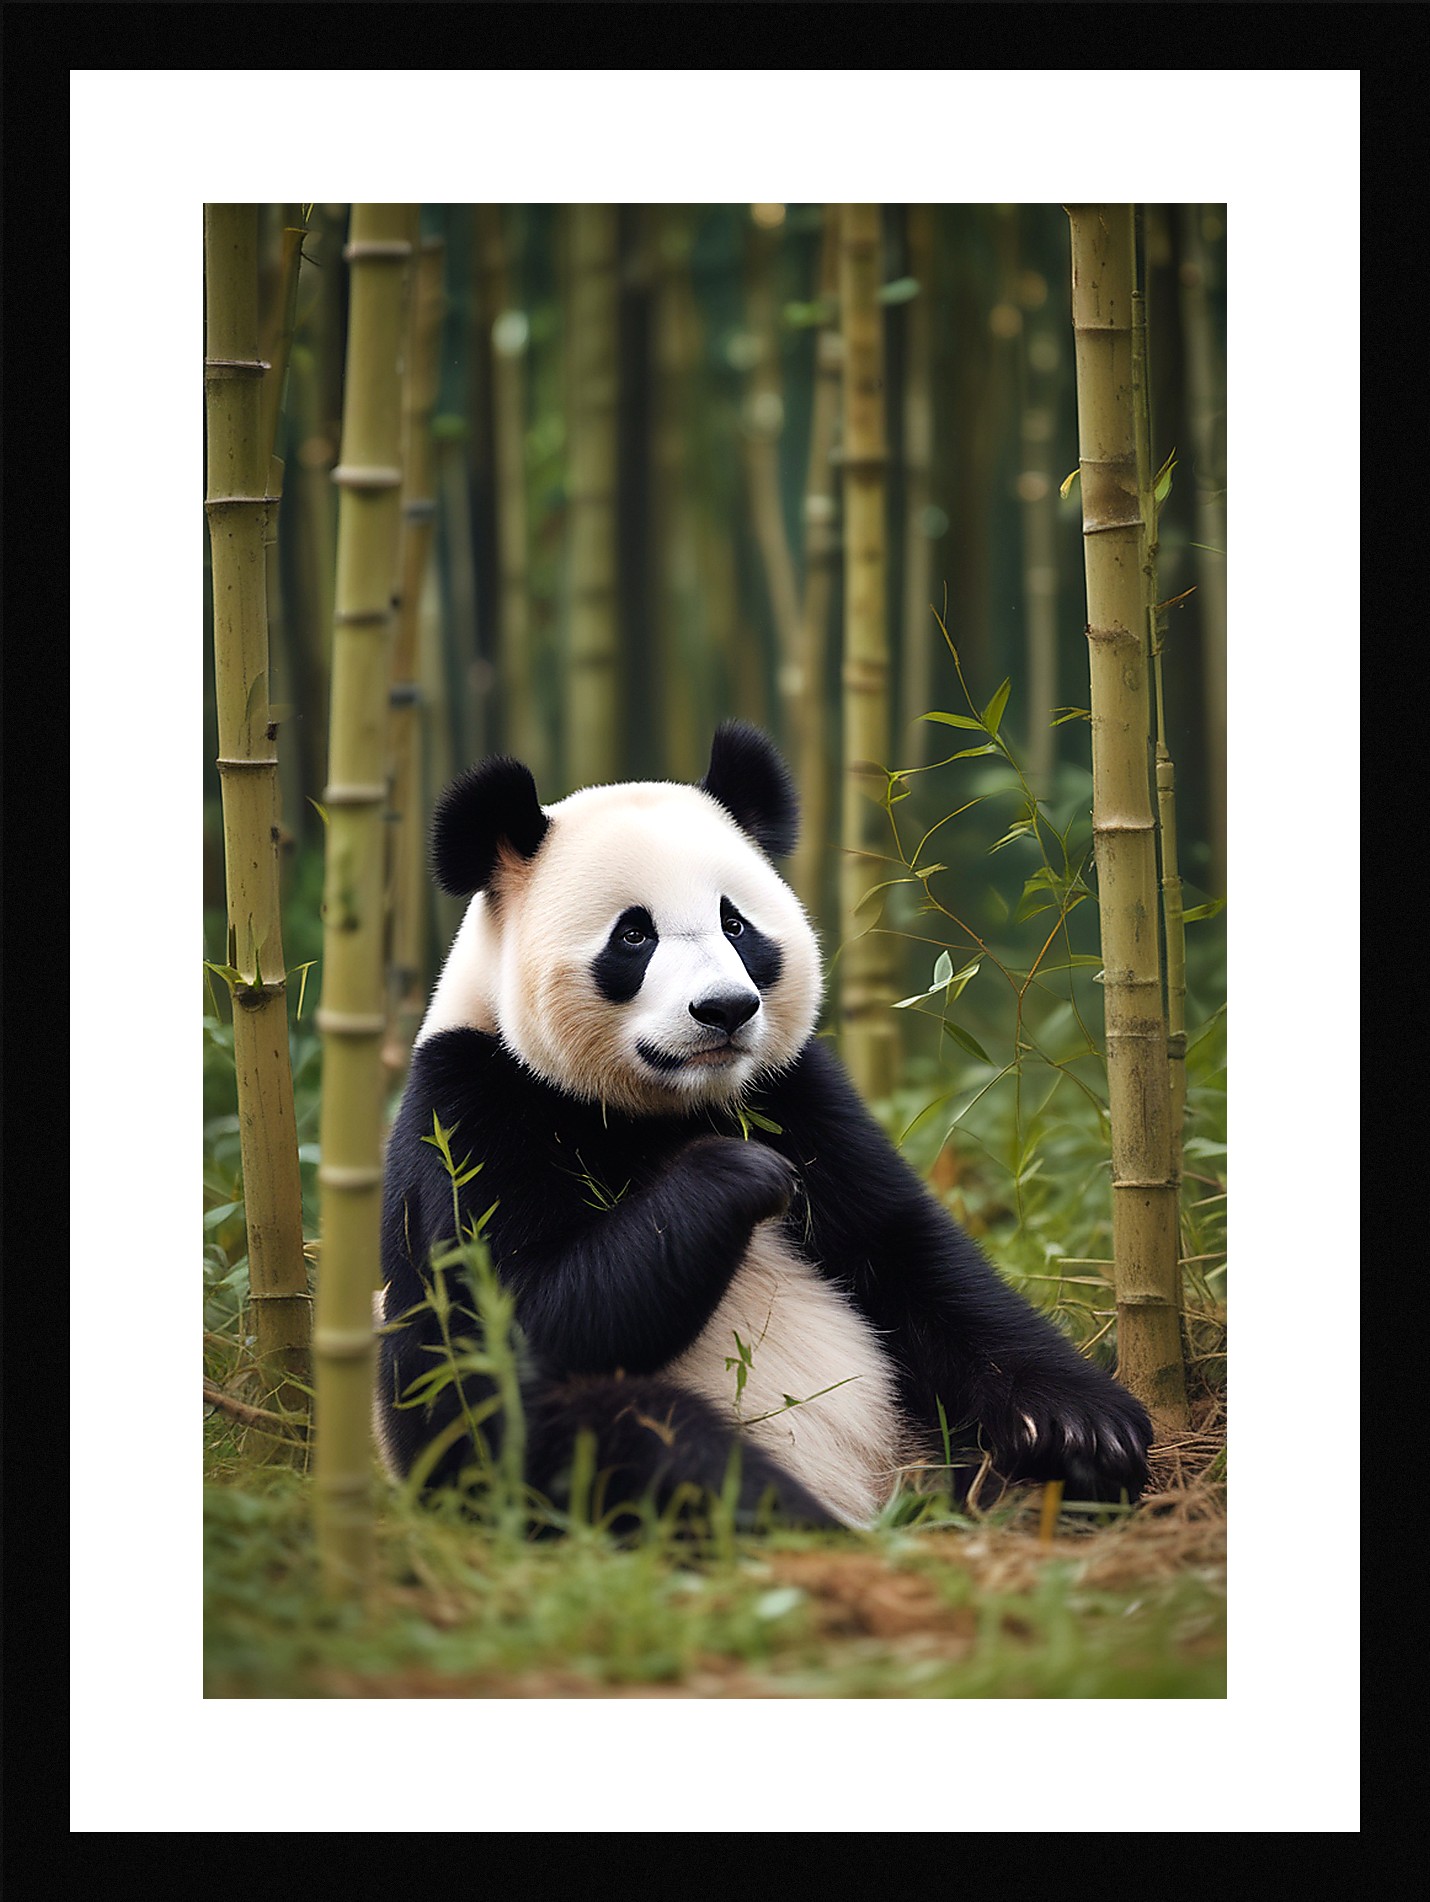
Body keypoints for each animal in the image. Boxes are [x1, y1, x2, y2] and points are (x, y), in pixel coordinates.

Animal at [375, 722, 1153, 1529]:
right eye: (633, 936)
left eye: (735, 924)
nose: (724, 1009)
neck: (668, 1107)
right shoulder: (472, 1105)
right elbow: (515, 1317)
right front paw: (745, 1174)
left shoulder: (800, 1091)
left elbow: (915, 1255)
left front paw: (1083, 1427)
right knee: (633, 1441)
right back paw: (798, 1520)